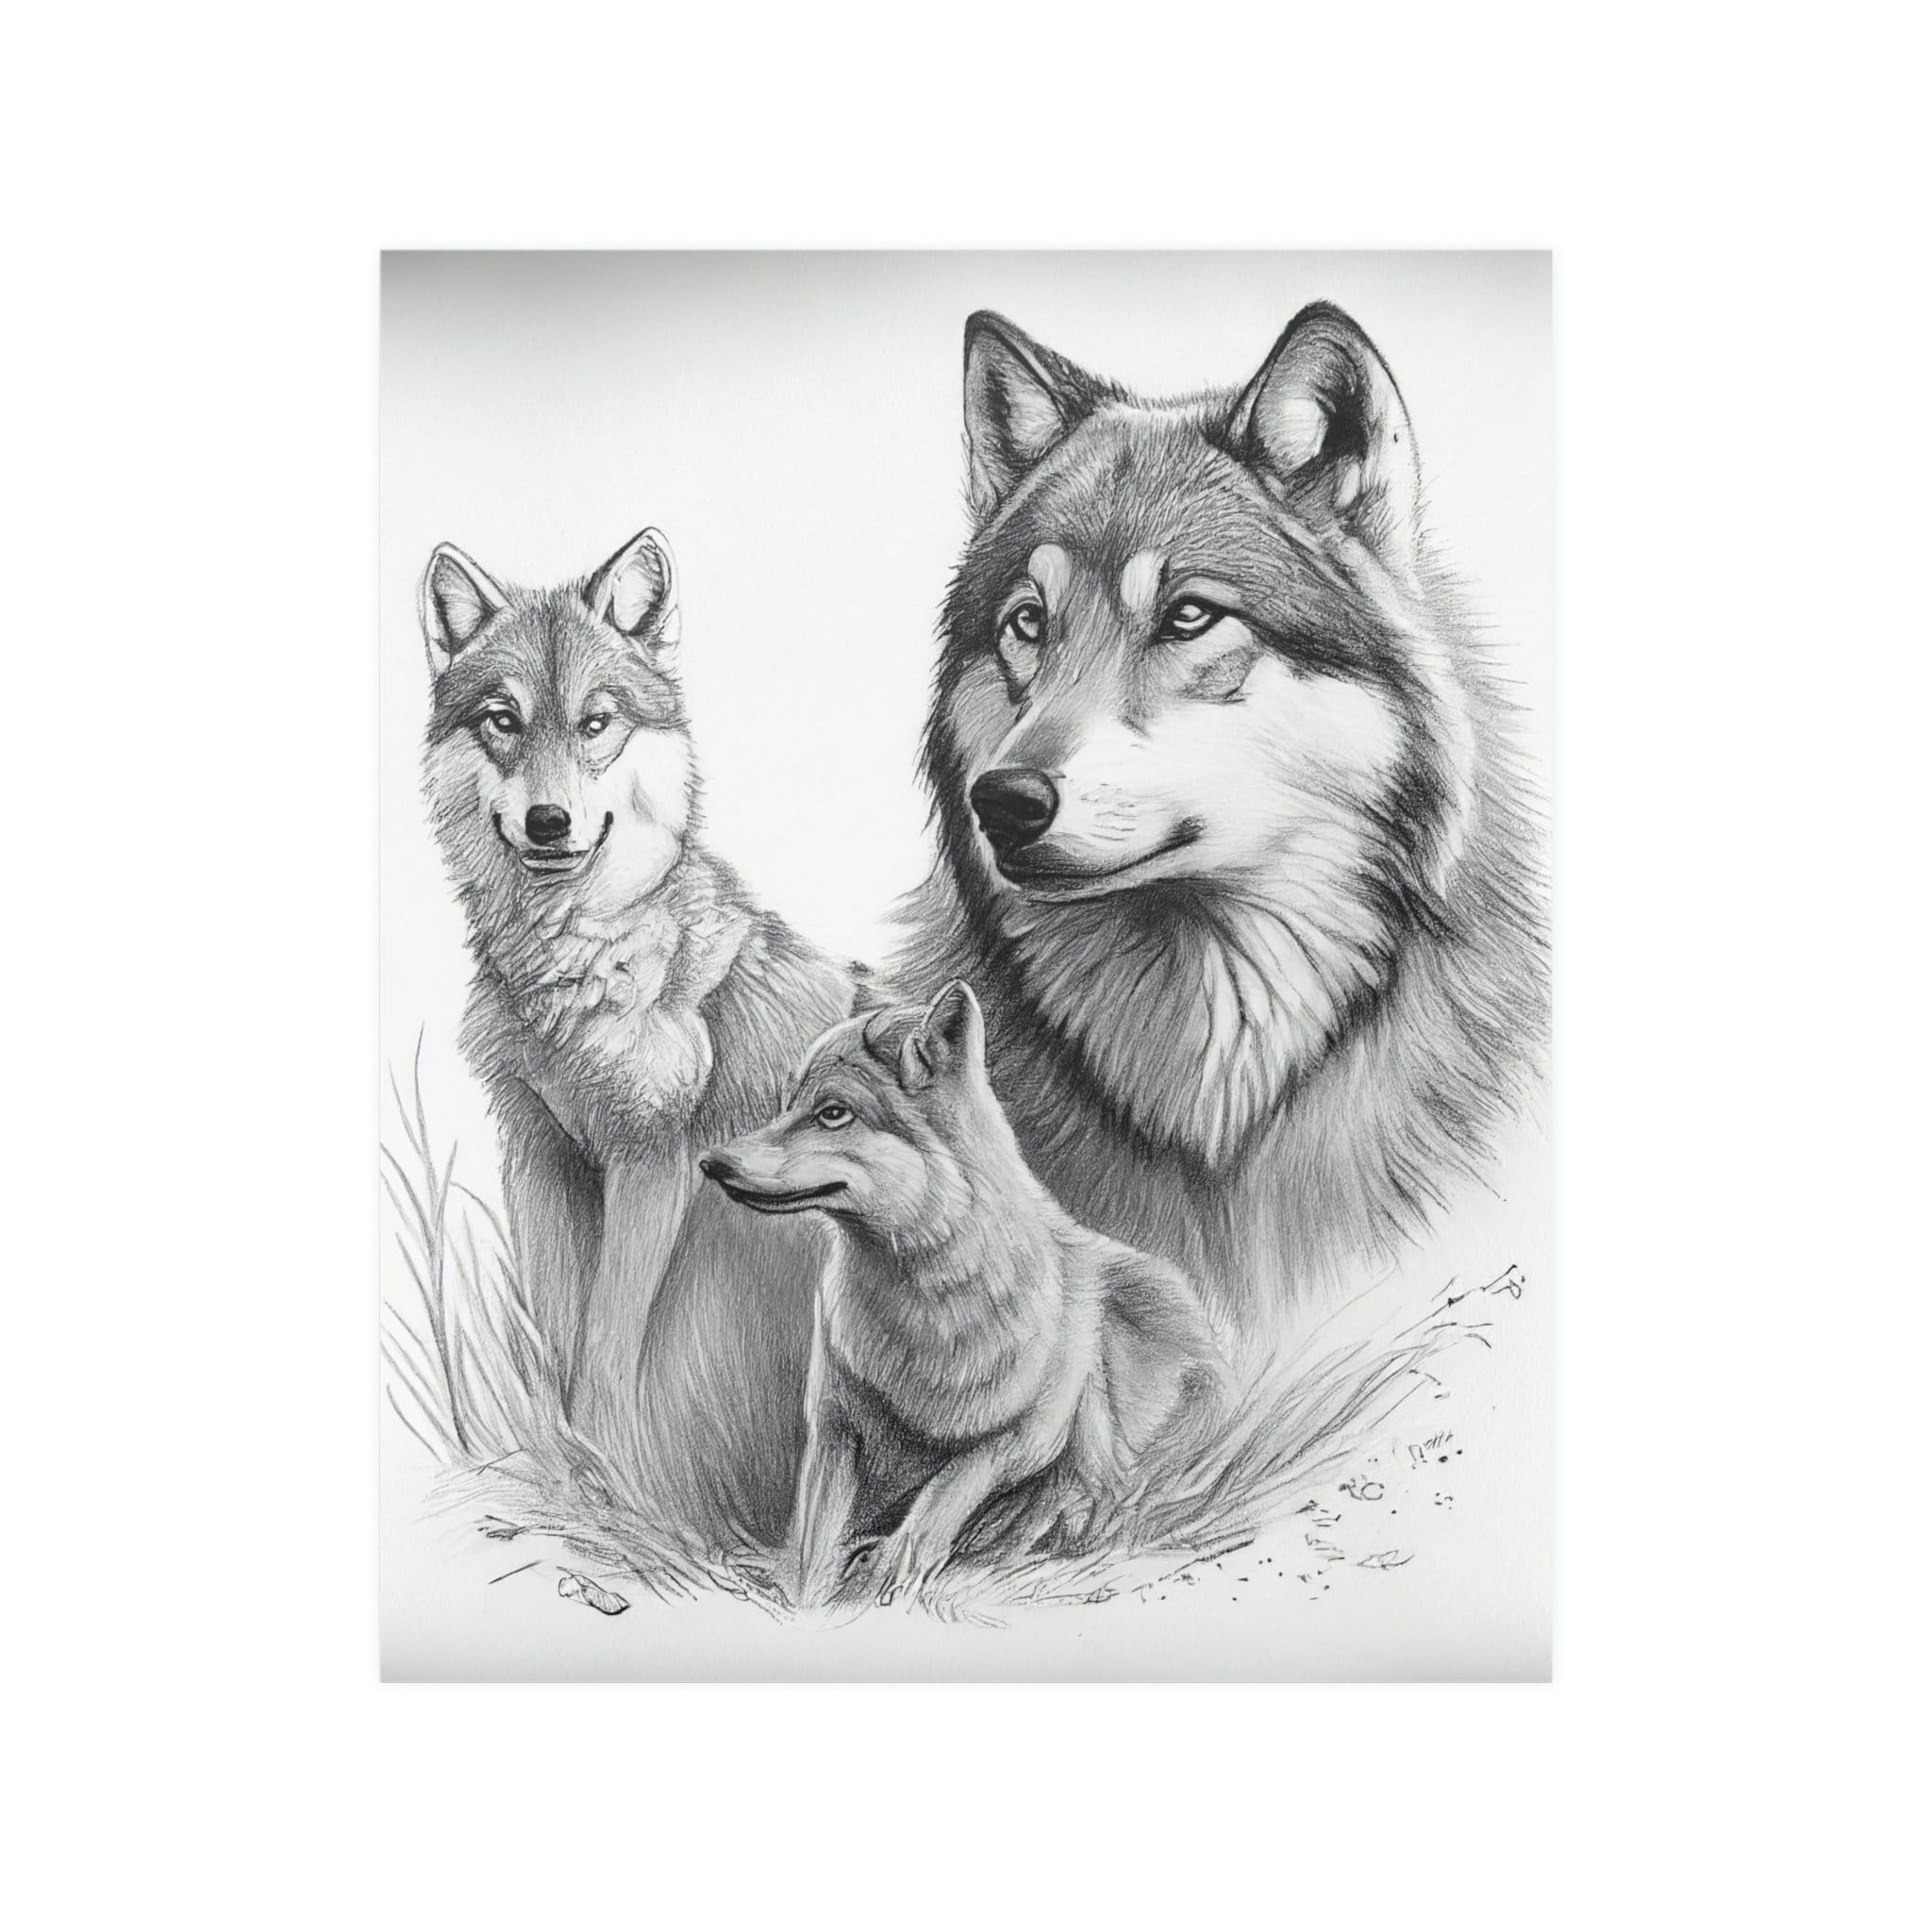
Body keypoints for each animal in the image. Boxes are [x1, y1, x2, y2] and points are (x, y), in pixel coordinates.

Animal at [418, 527, 856, 1541]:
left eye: (596, 723)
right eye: (503, 720)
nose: (548, 821)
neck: (574, 978)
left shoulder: (651, 1158)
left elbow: (610, 1345)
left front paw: (611, 1488)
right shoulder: (538, 1153)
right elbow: (557, 1333)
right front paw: (560, 1474)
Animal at [700, 980, 1224, 1605]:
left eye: (832, 1114)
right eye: (787, 1105)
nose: (710, 1161)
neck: (925, 1311)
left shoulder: (1025, 1436)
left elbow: (950, 1486)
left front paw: (896, 1566)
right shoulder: (833, 1429)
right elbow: (814, 1541)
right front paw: (807, 1594)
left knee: (1099, 1490)